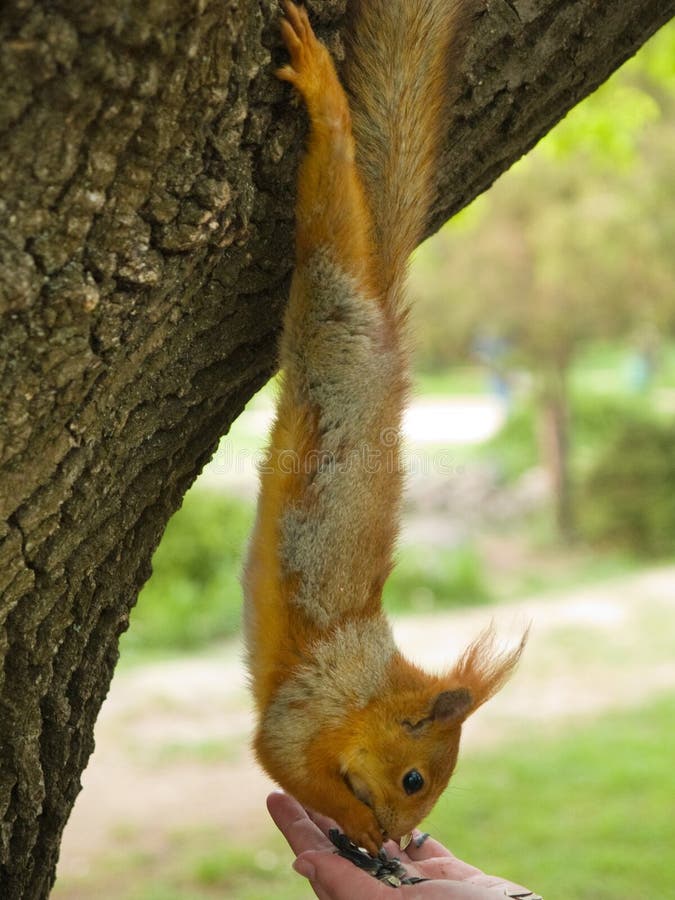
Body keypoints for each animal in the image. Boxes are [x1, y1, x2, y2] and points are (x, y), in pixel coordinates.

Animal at [243, 0, 526, 856]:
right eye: (412, 780)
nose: (404, 839)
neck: (366, 688)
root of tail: (386, 337)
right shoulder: (309, 702)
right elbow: (279, 756)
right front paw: (360, 831)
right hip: (330, 316)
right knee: (332, 228)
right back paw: (324, 100)